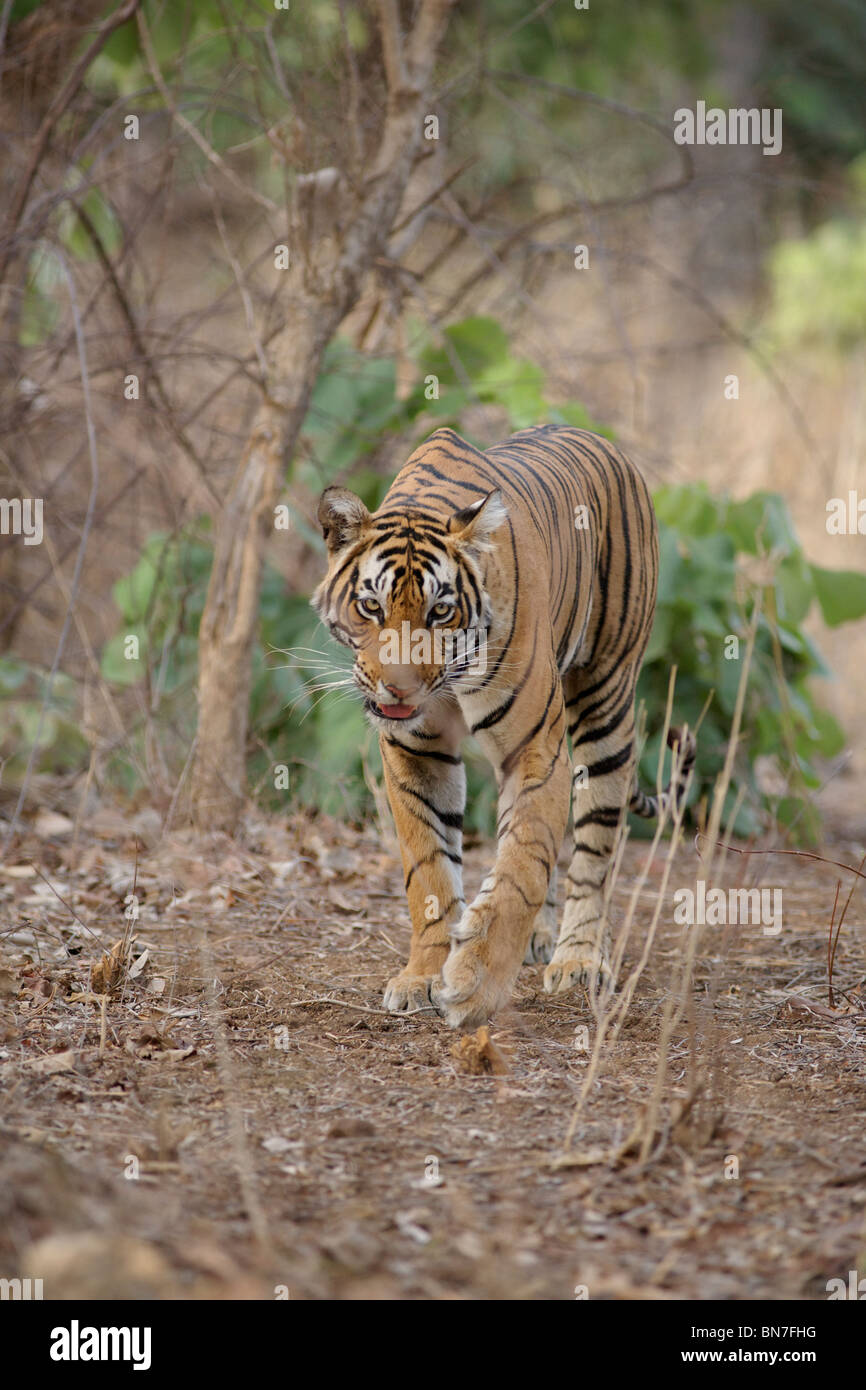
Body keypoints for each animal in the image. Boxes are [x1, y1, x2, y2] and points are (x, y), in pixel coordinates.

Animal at [312, 425, 695, 1030]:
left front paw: (475, 984)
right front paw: (423, 976)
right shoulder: (416, 754)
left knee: (592, 852)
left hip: (606, 701)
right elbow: (429, 871)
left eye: (440, 613)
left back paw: (579, 960)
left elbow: (522, 869)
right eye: (370, 607)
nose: (399, 690)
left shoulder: (536, 749)